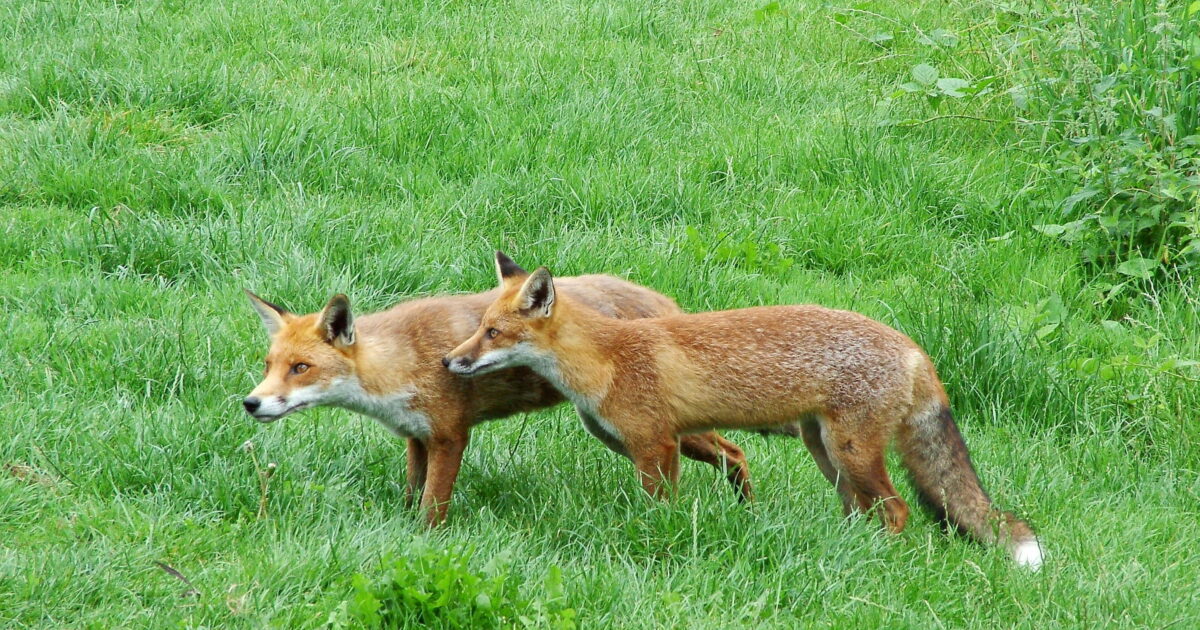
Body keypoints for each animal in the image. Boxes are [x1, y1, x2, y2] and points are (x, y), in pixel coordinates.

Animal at [242, 262, 753, 527]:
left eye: (301, 368)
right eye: (269, 366)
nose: (251, 403)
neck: (399, 362)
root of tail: (658, 299)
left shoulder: (449, 436)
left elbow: (432, 506)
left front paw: (425, 542)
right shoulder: (416, 438)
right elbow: (411, 496)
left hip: (649, 430)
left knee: (735, 450)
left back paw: (746, 510)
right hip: (610, 430)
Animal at [443, 252, 1043, 569]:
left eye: (493, 333)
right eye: (479, 325)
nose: (450, 360)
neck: (607, 358)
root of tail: (915, 347)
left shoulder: (654, 444)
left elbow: (659, 510)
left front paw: (658, 540)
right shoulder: (666, 440)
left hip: (851, 451)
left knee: (897, 511)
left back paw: (882, 562)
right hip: (825, 452)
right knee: (863, 510)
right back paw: (847, 553)